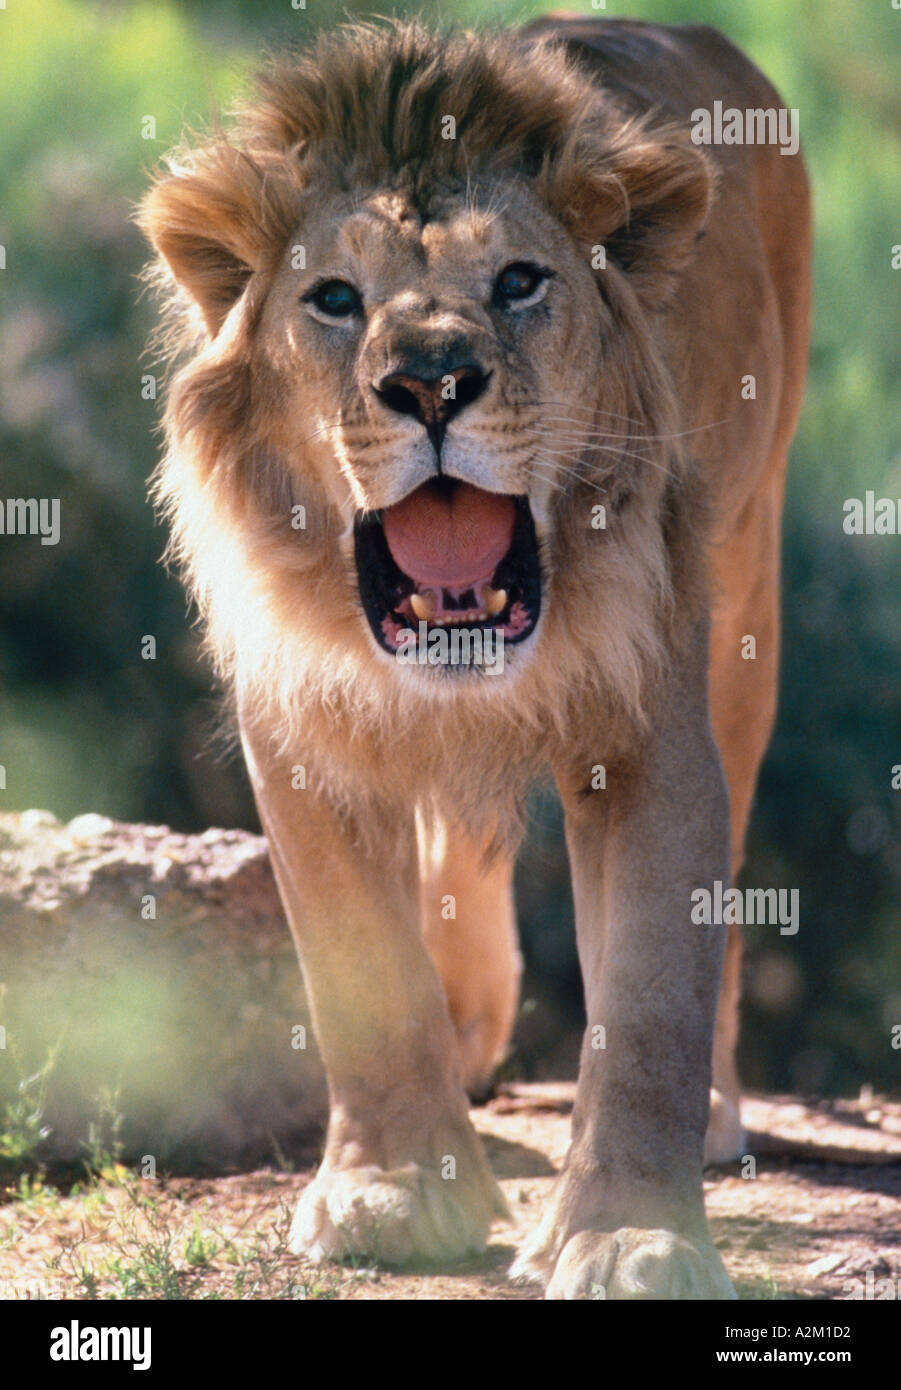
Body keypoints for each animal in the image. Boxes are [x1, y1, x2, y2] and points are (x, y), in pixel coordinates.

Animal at [138, 16, 811, 1298]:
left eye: (518, 281)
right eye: (334, 299)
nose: (431, 381)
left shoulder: (652, 731)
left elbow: (647, 993)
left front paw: (630, 1234)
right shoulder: (300, 728)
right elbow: (362, 969)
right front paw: (394, 1184)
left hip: (749, 586)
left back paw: (709, 1109)